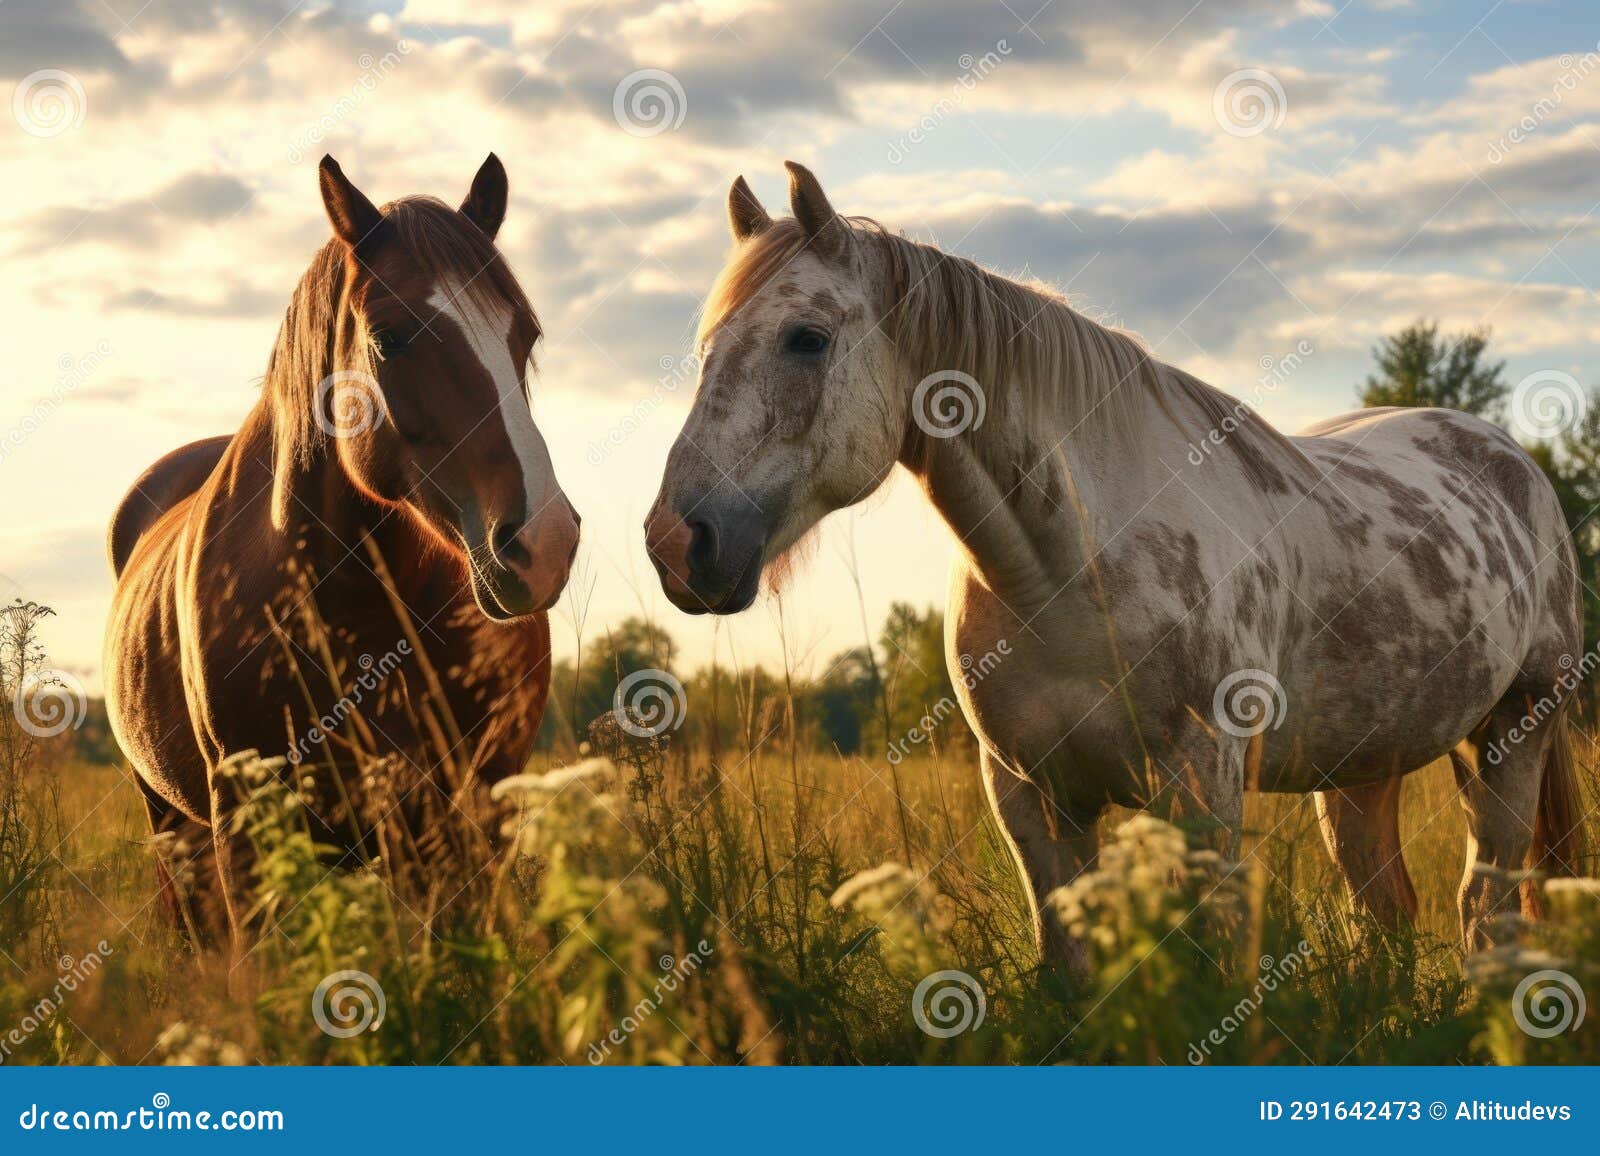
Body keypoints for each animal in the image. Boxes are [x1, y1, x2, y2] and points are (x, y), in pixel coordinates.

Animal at [104, 155, 580, 950]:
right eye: (387, 337)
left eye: (527, 336)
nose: (543, 543)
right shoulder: (243, 828)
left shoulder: (469, 817)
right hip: (171, 819)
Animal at [645, 161, 1587, 973]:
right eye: (706, 347)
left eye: (805, 339)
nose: (676, 544)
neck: (1065, 573)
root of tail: (1512, 459)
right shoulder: (1032, 798)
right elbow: (1066, 970)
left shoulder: (1202, 791)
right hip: (1364, 766)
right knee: (1387, 909)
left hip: (1514, 729)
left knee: (1485, 908)